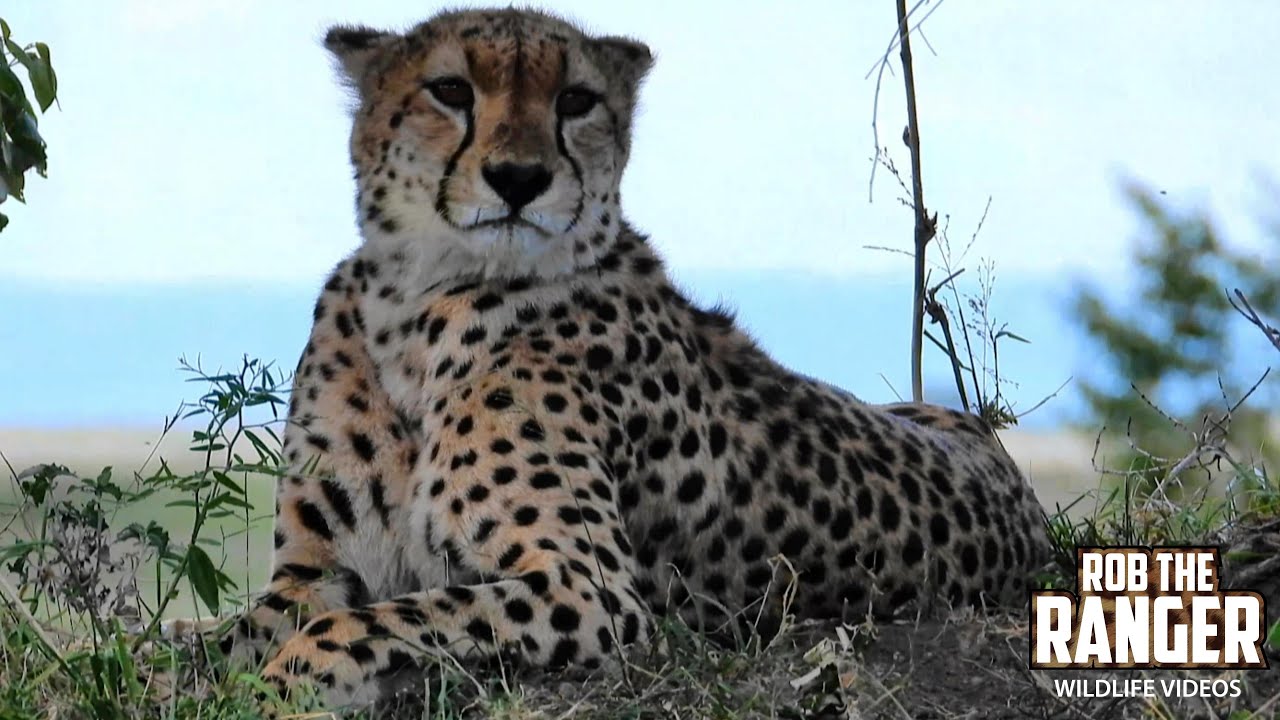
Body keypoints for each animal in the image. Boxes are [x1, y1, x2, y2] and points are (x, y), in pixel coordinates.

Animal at [171, 7, 1050, 710]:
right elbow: (205, 642)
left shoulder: (587, 588)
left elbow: (370, 622)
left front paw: (282, 684)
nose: (519, 178)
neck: (416, 300)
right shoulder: (313, 575)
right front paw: (199, 662)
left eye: (576, 101)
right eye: (449, 90)